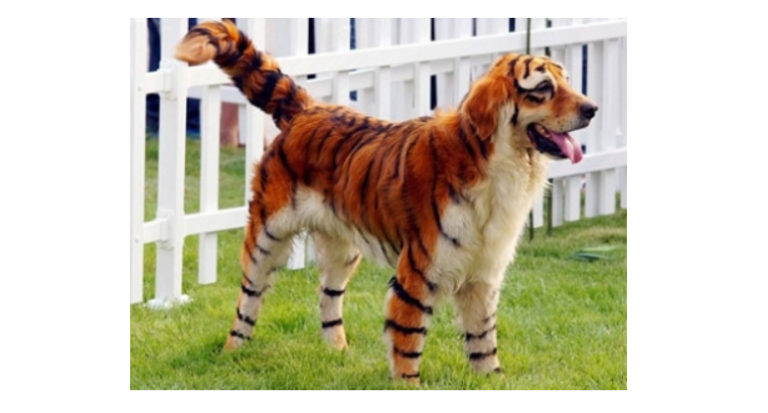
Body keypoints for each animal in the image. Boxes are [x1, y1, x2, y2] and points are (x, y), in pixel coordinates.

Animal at [175, 19, 597, 384]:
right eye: (544, 87)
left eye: (567, 82)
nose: (592, 108)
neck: (503, 165)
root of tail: (308, 109)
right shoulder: (419, 272)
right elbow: (408, 342)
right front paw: (409, 386)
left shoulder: (484, 273)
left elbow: (483, 342)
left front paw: (493, 383)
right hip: (267, 236)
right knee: (249, 297)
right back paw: (233, 352)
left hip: (342, 249)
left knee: (328, 297)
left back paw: (337, 353)